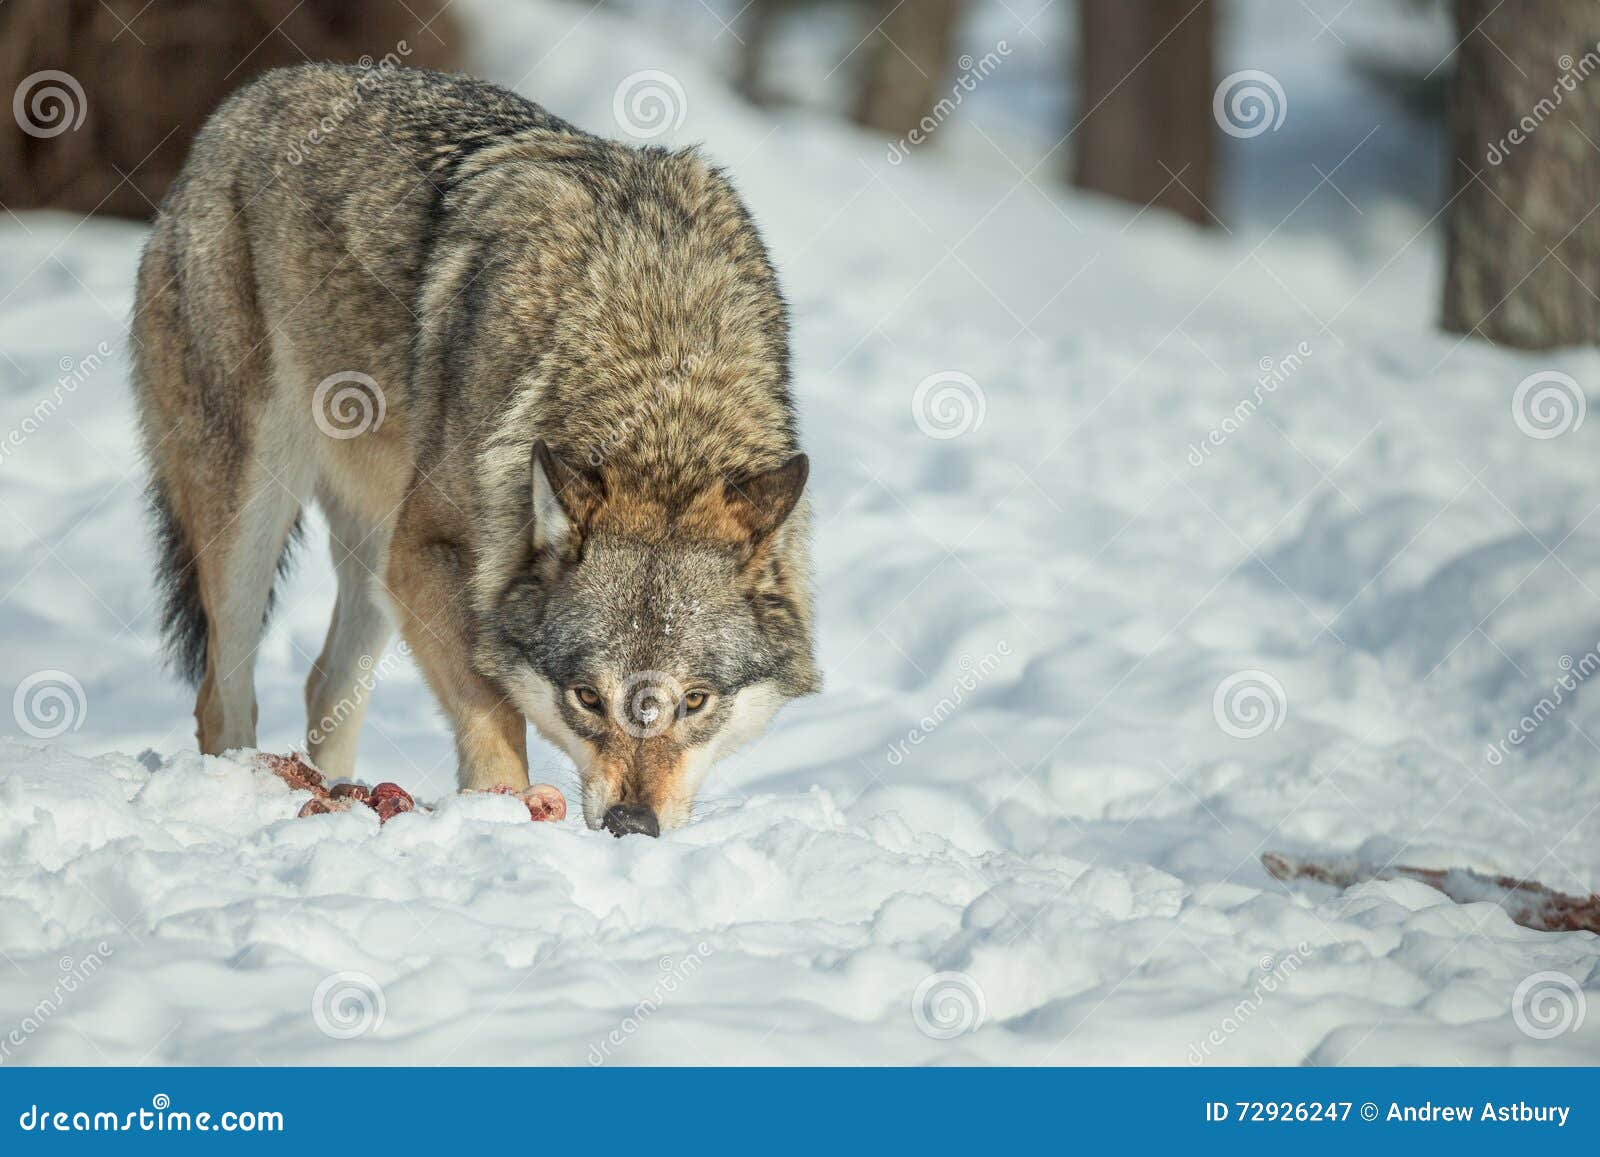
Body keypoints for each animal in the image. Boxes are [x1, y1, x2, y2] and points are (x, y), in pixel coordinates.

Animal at [131, 64, 819, 836]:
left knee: (324, 686)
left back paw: (336, 793)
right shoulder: (423, 555)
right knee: (223, 698)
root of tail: (249, 95)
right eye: (587, 697)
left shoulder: (410, 559)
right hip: (256, 513)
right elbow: (491, 708)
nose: (631, 826)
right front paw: (503, 813)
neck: (656, 361)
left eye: (694, 700)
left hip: (369, 552)